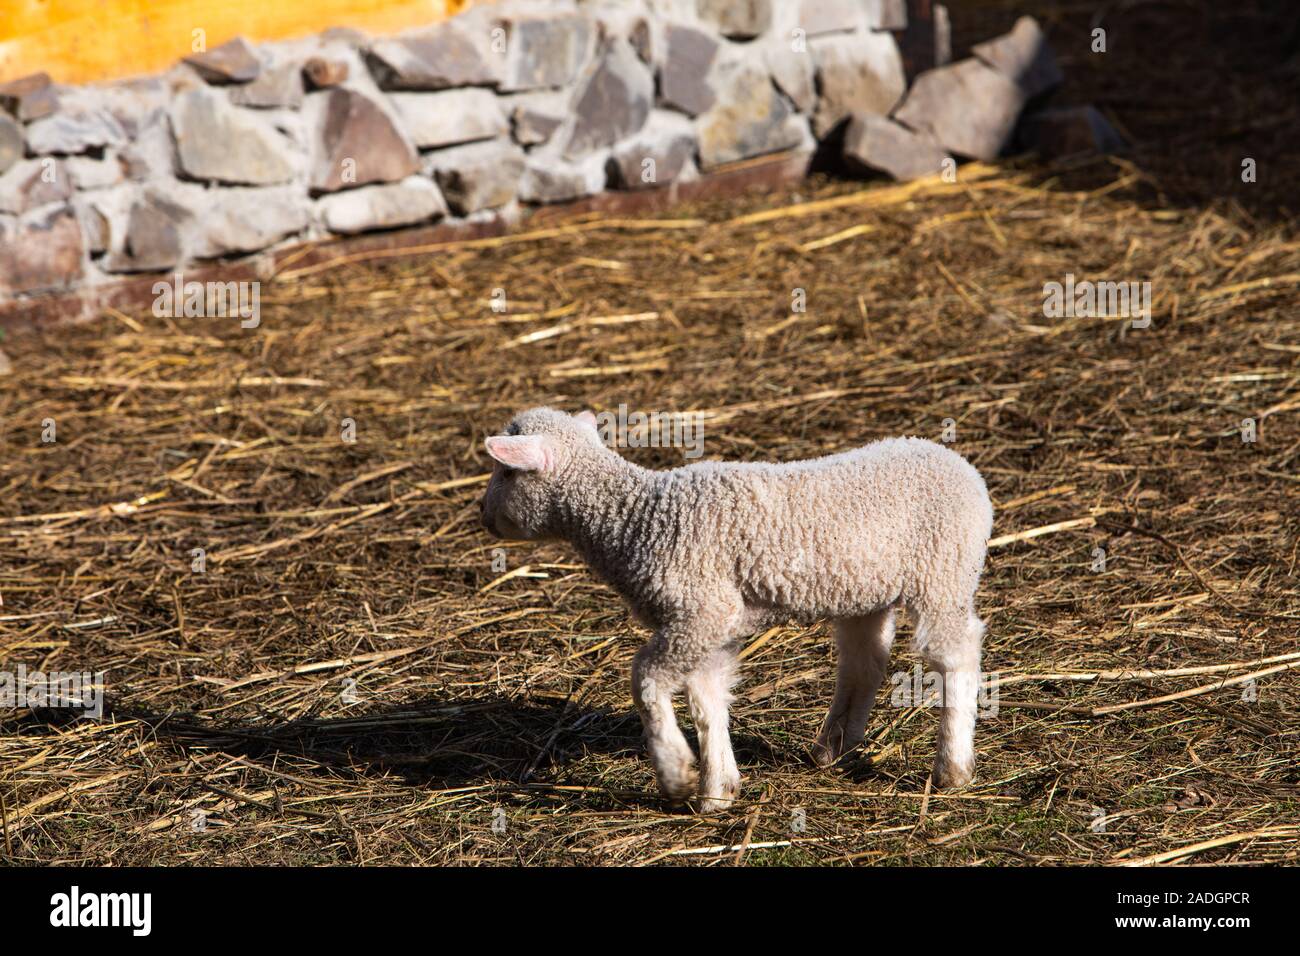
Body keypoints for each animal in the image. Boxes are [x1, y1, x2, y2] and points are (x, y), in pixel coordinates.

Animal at [480, 406, 994, 812]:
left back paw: (952, 768)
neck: (632, 519)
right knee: (864, 662)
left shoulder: (702, 611)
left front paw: (675, 772)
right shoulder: (704, 629)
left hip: (943, 571)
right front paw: (717, 790)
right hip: (864, 591)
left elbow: (645, 678)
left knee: (956, 654)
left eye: (505, 473)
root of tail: (960, 466)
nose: (482, 515)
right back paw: (832, 747)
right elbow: (708, 702)